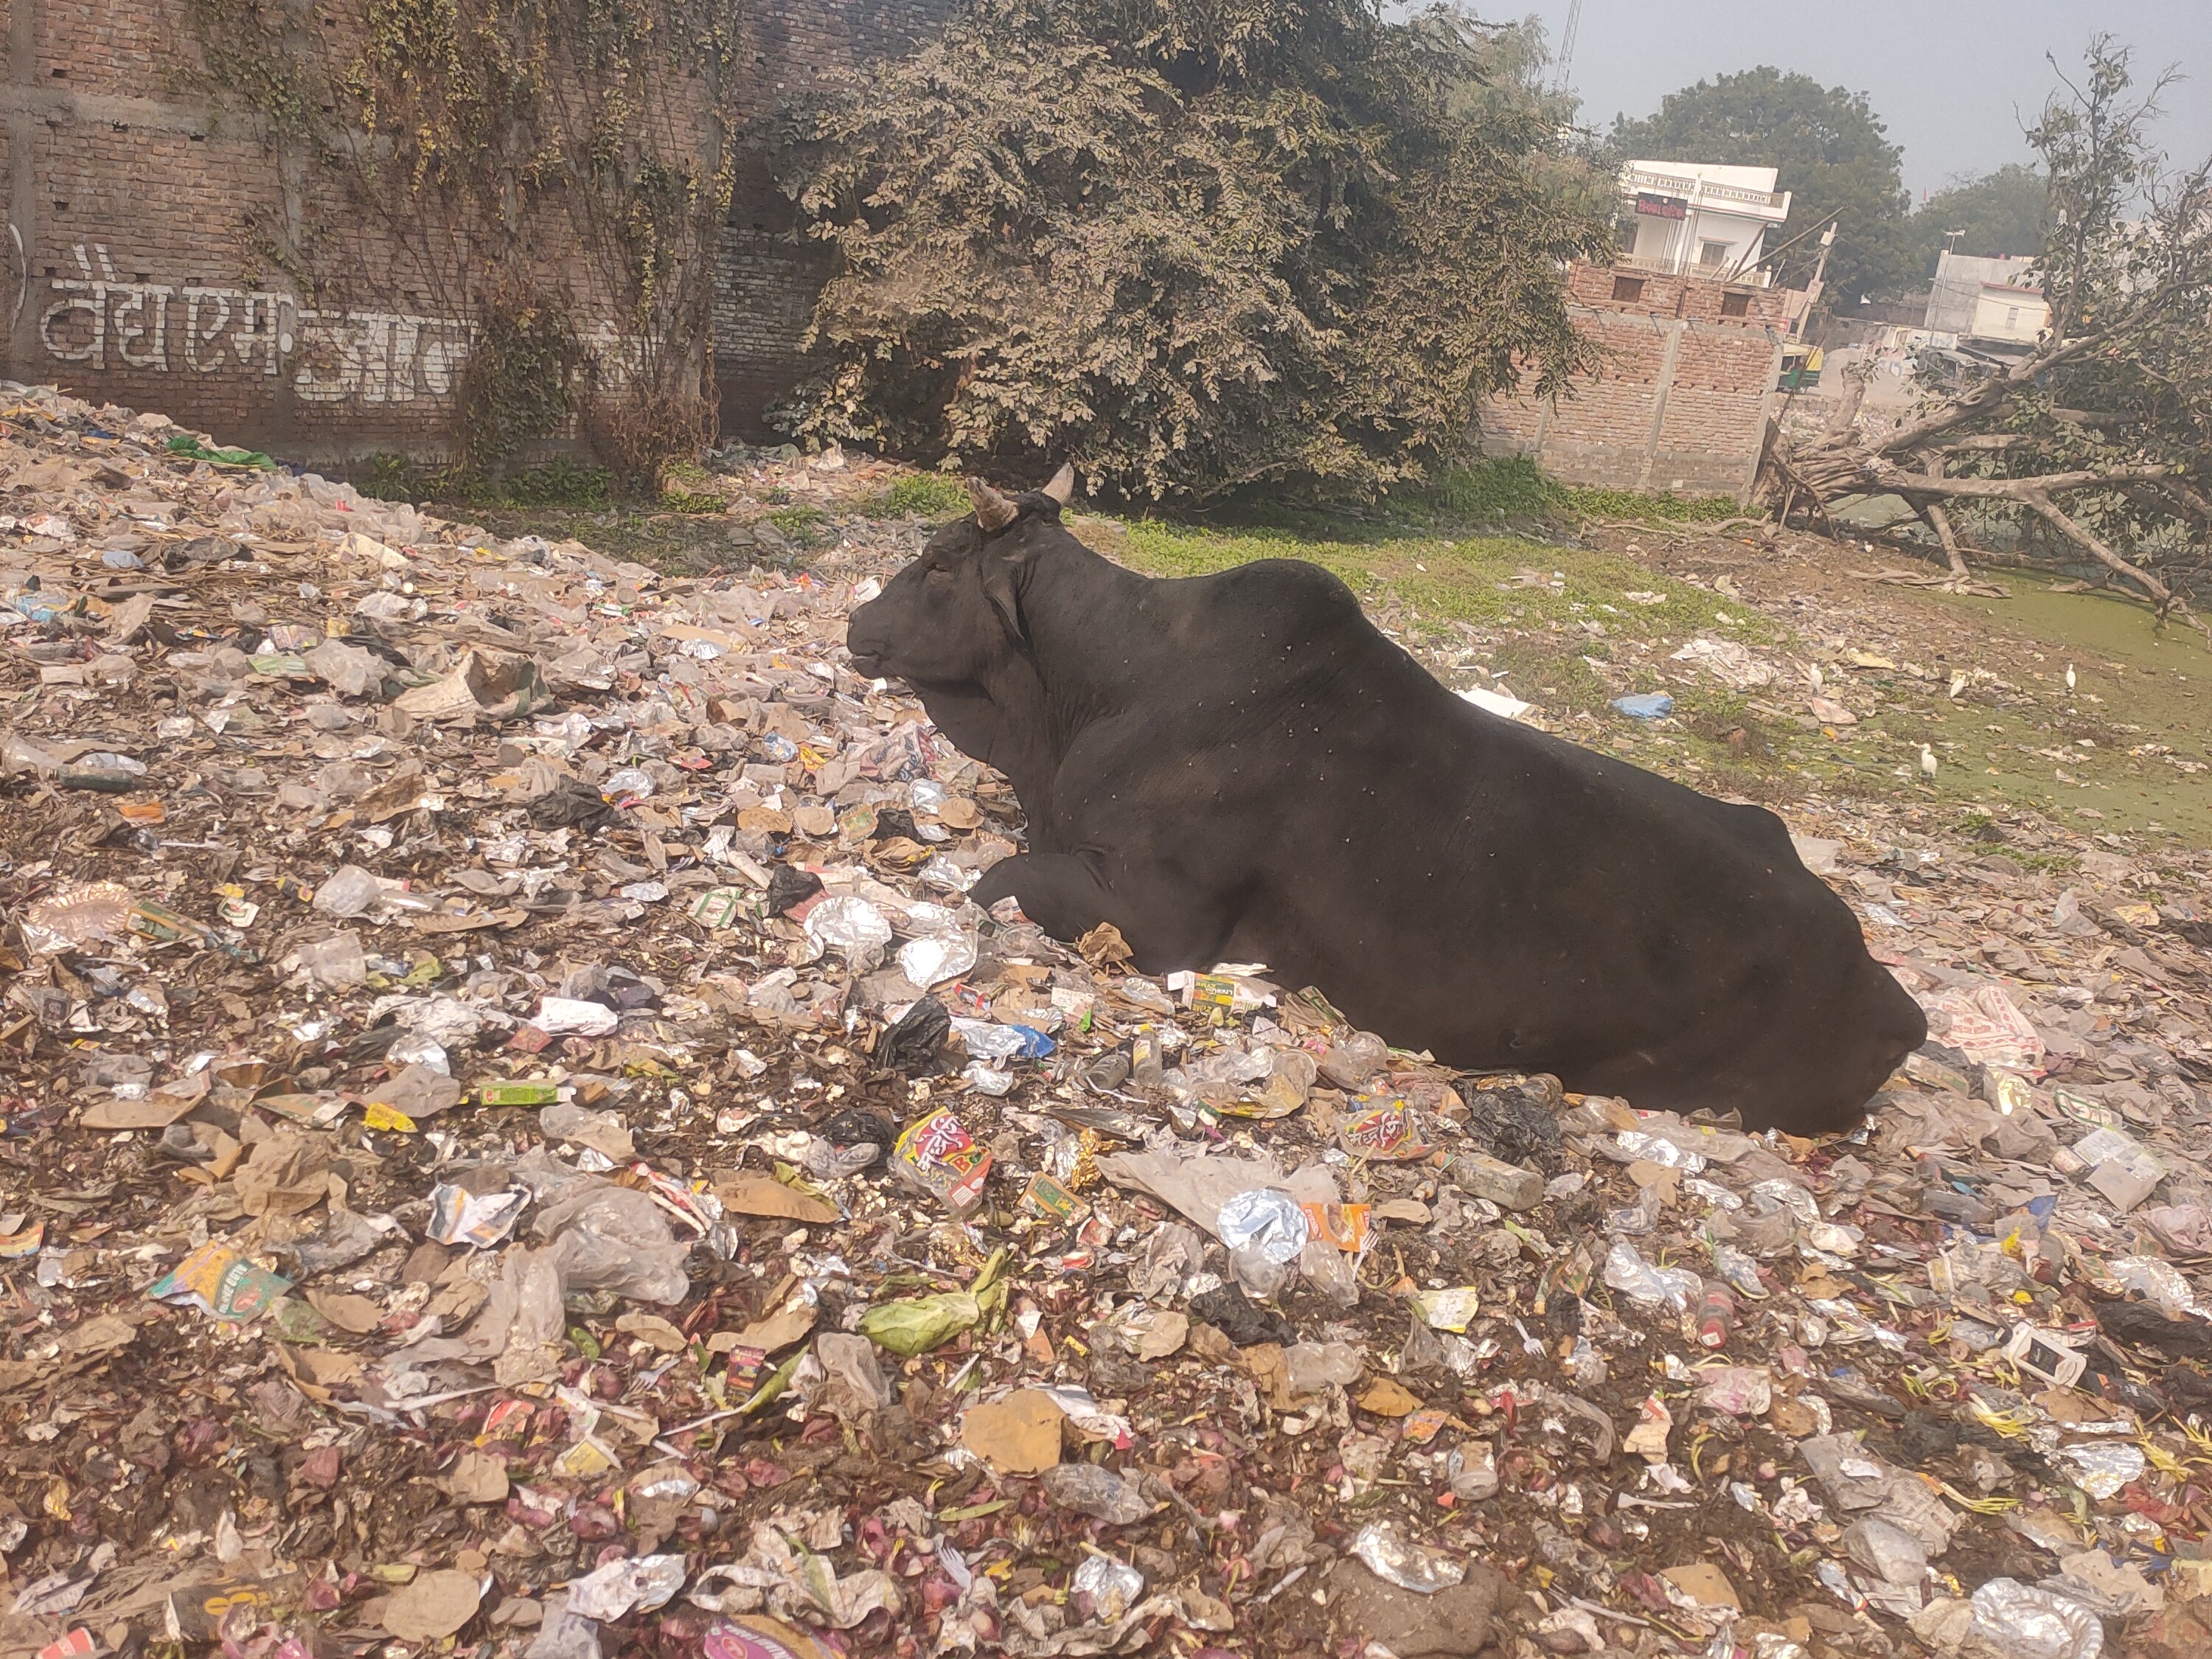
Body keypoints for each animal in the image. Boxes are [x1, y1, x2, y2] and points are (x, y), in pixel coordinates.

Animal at [845, 471, 1926, 1134]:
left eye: (938, 559)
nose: (858, 621)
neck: (1093, 691)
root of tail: (1889, 991)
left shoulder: (1158, 917)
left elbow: (994, 880)